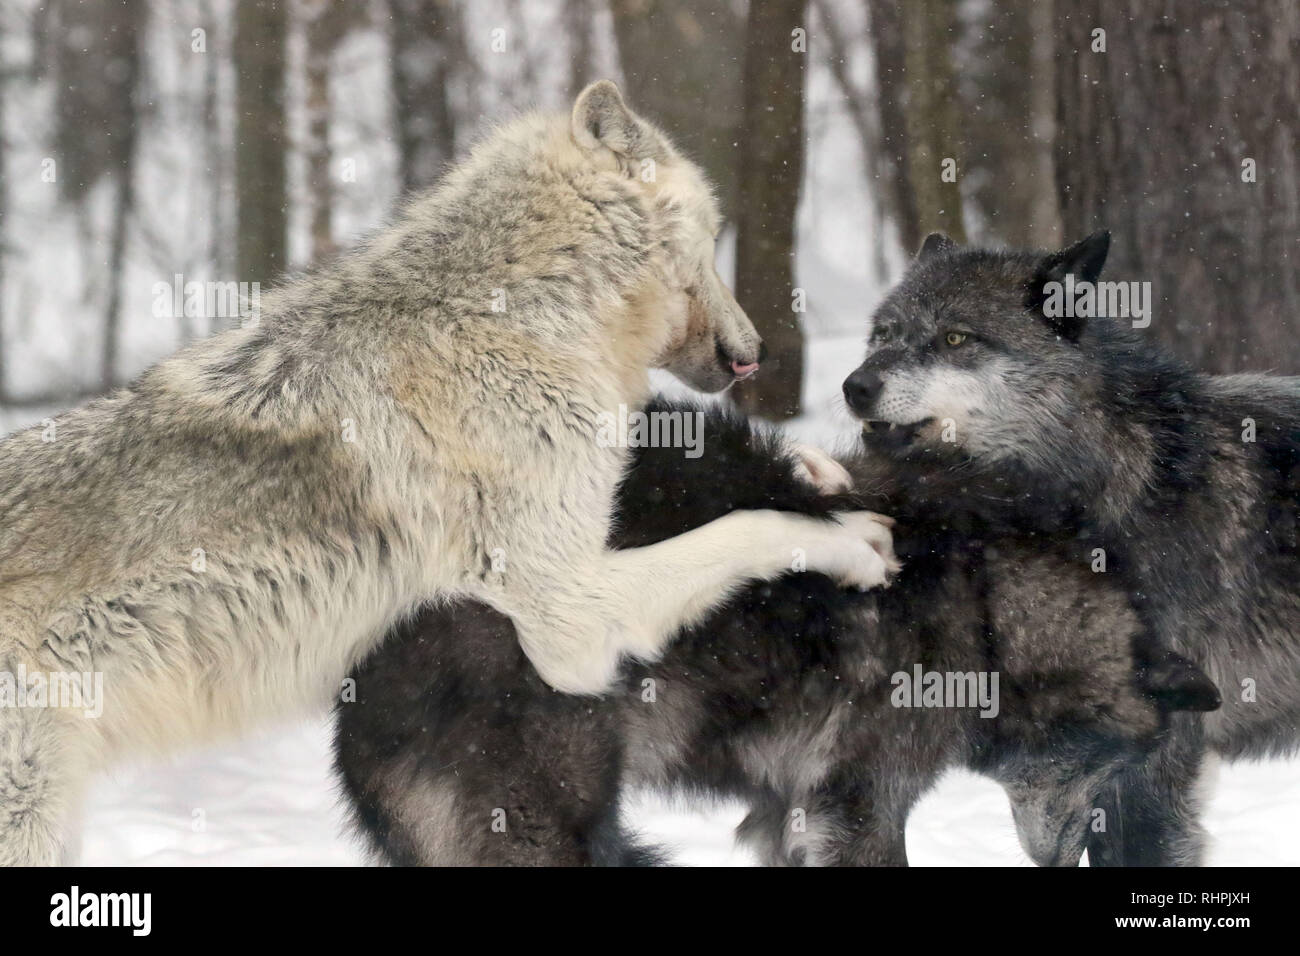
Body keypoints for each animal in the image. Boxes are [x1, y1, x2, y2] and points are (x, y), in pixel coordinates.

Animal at [0, 82, 894, 865]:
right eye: (710, 241)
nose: (756, 354)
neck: (531, 318)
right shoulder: (569, 621)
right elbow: (748, 527)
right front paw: (855, 540)